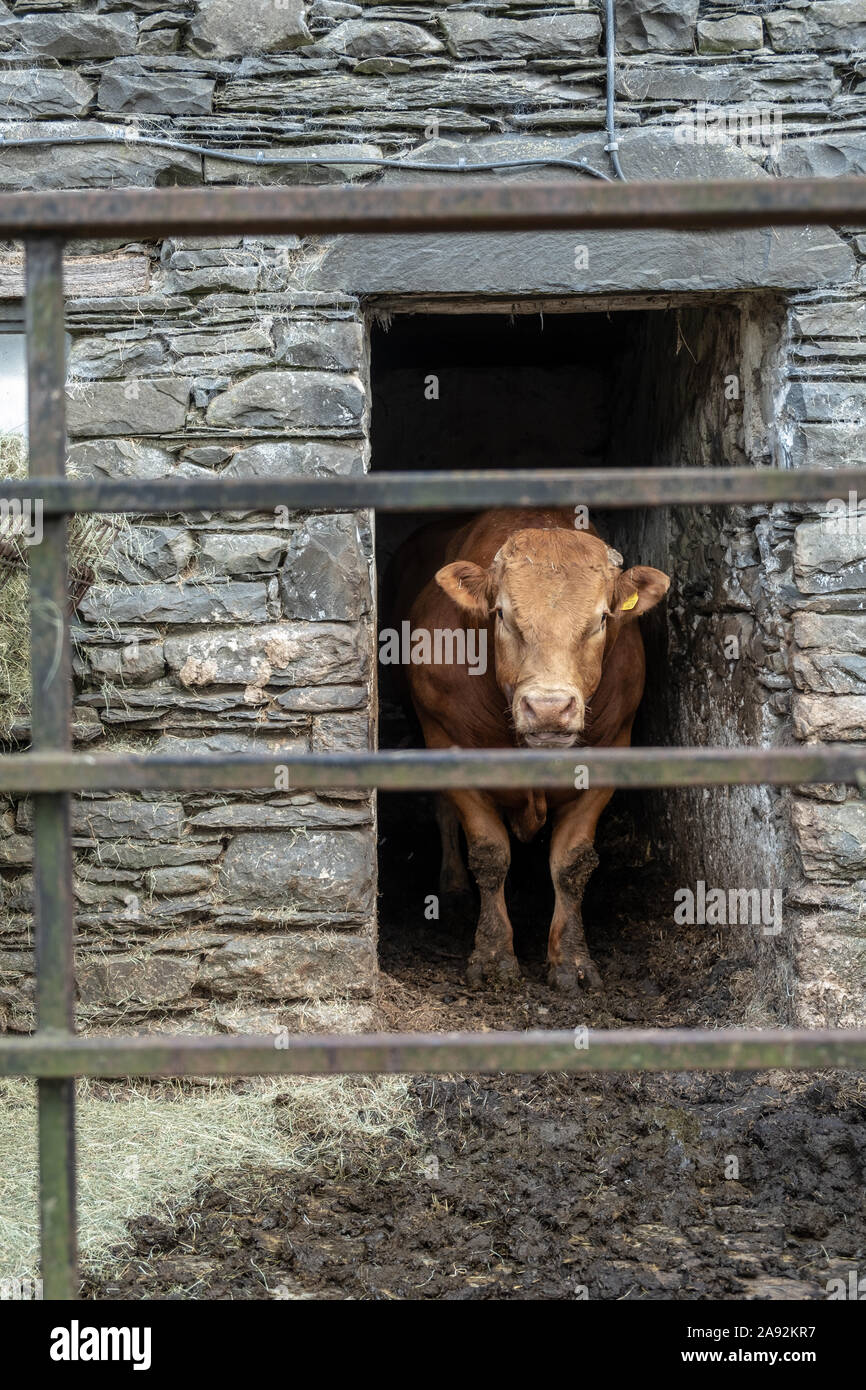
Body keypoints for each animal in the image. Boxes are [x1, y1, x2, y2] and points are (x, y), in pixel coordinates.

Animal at [392, 508, 670, 993]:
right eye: (502, 614)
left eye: (601, 618)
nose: (548, 708)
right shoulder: (448, 741)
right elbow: (489, 855)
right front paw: (493, 955)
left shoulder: (611, 751)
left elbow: (572, 864)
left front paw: (572, 960)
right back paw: (453, 886)